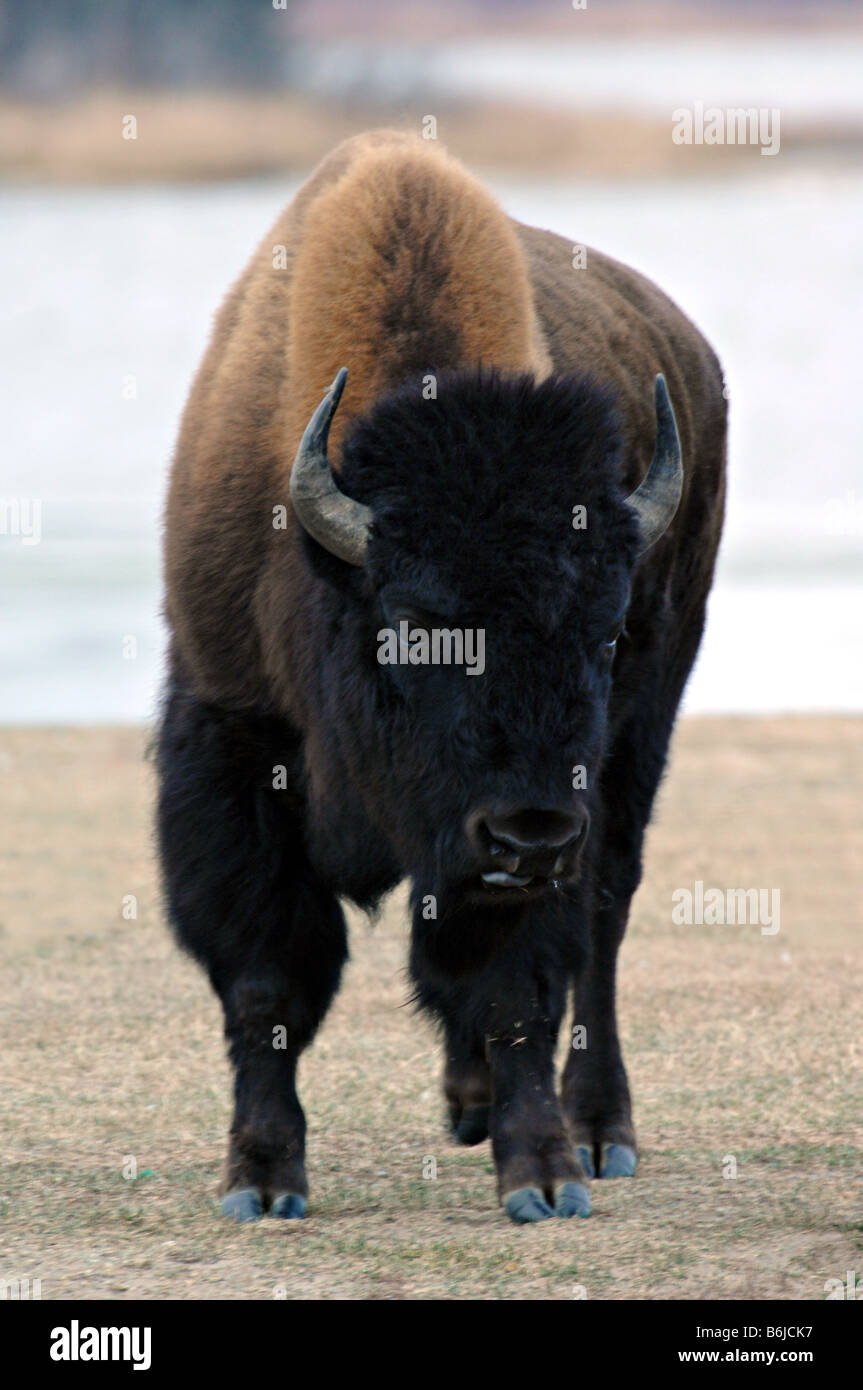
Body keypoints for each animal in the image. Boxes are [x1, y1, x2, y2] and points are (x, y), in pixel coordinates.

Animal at [157, 130, 726, 1224]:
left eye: (602, 633)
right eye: (417, 625)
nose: (528, 834)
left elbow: (515, 989)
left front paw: (543, 1177)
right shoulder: (230, 742)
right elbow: (266, 985)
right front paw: (261, 1181)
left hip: (634, 749)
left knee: (602, 919)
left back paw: (599, 1130)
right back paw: (466, 1103)